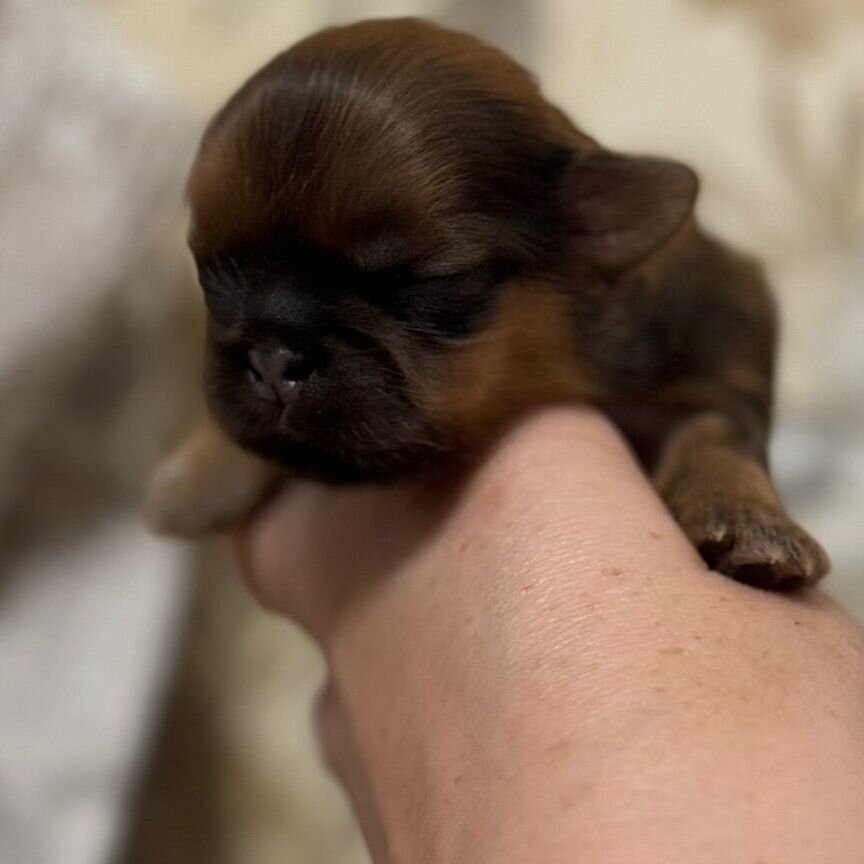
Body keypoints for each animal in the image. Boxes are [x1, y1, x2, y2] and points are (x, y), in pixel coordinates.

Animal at [145, 17, 829, 590]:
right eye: (215, 274)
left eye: (423, 282)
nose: (271, 360)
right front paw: (199, 472)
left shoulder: (718, 359)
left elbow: (718, 438)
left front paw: (749, 521)